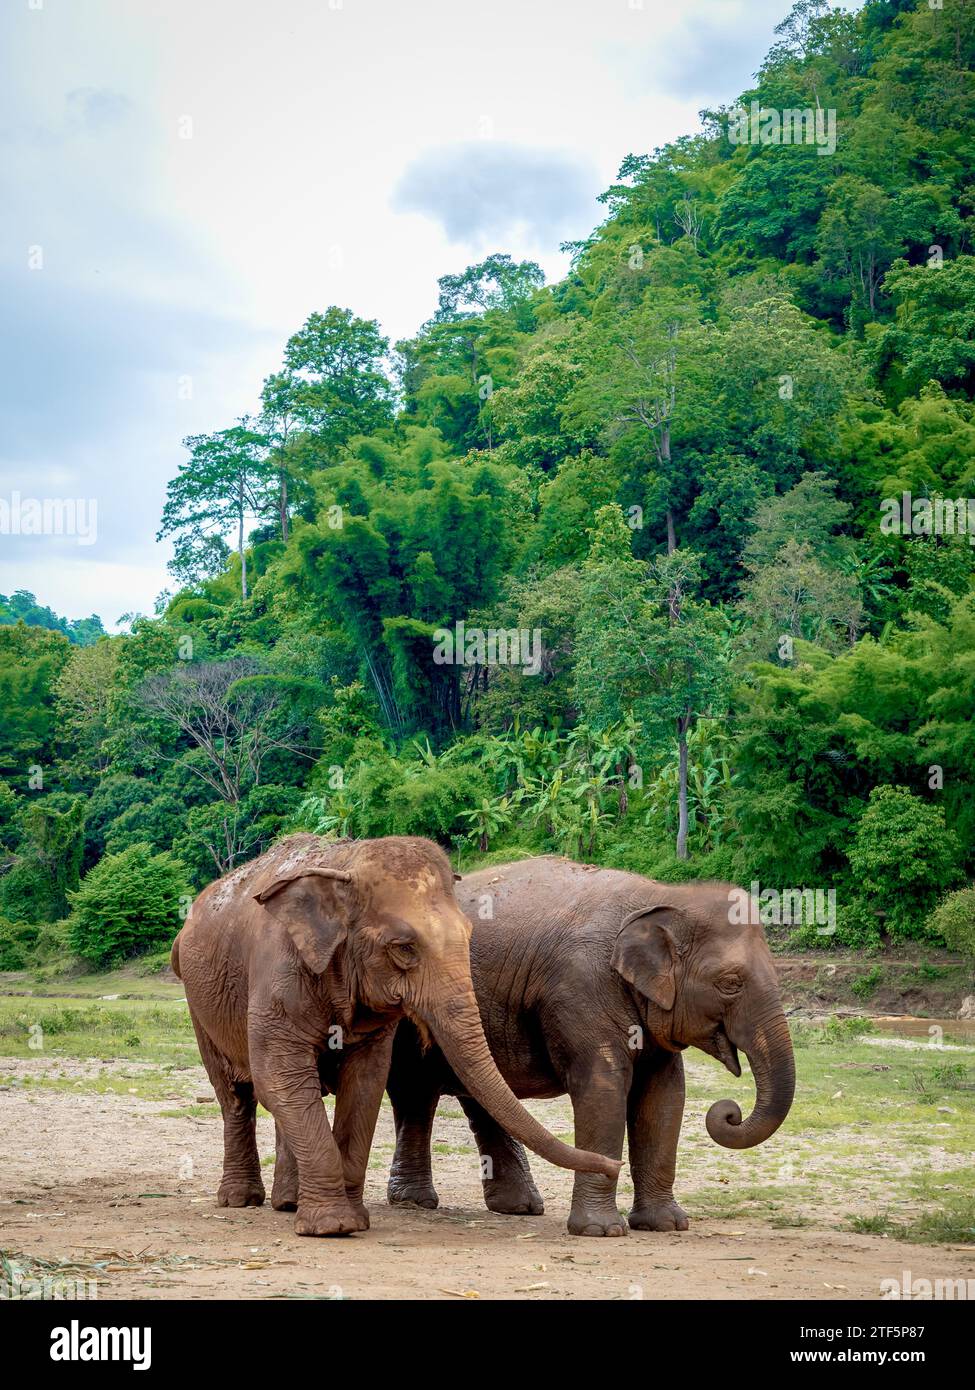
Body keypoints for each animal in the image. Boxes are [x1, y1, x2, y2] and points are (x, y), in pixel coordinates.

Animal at [172, 834, 620, 1237]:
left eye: (469, 937)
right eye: (404, 948)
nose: (615, 1165)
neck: (344, 862)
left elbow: (365, 1084)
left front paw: (353, 1221)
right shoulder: (277, 973)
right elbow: (279, 1076)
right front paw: (332, 1227)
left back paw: (288, 1203)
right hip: (198, 1004)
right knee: (237, 1095)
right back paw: (240, 1199)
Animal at [386, 857, 796, 1236]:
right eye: (730, 983)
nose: (729, 1113)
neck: (662, 896)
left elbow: (664, 1095)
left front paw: (666, 1225)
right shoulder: (580, 987)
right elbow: (603, 1088)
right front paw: (602, 1230)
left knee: (484, 1094)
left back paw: (520, 1208)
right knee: (416, 1091)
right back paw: (415, 1201)